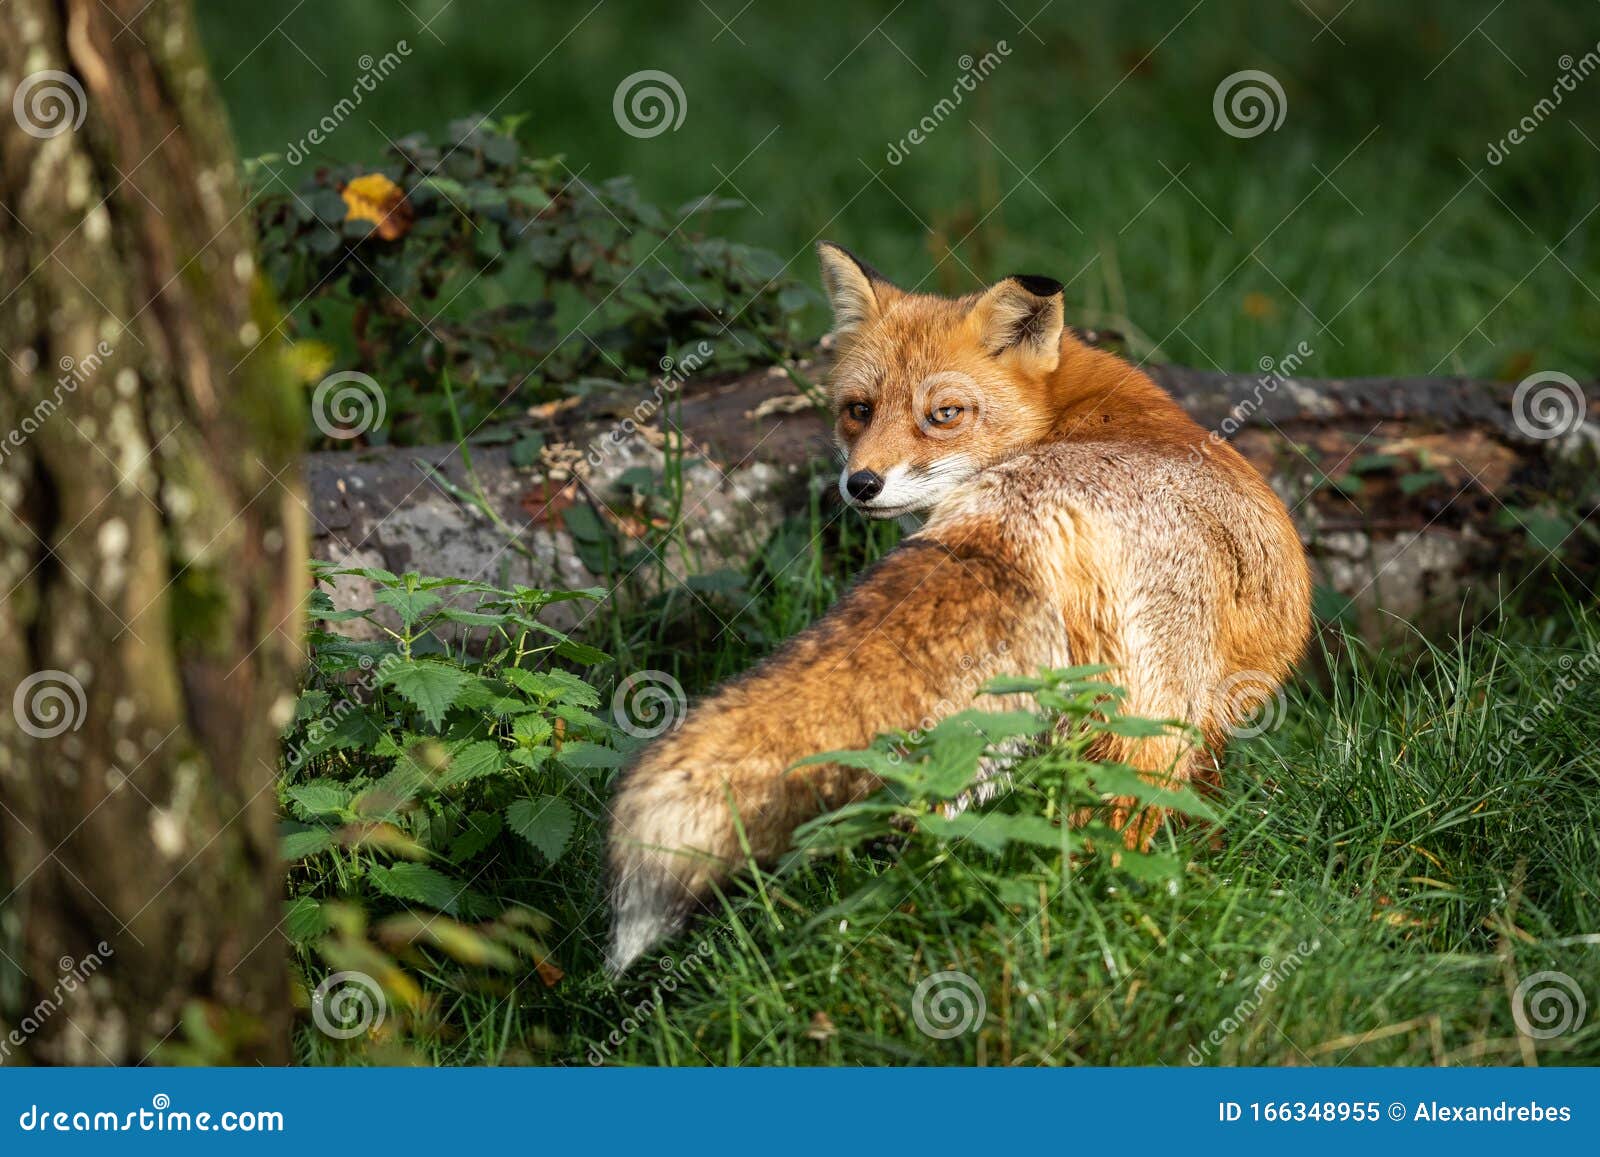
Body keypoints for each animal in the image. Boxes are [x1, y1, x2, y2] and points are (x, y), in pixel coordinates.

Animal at [604, 242, 1311, 975]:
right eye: (859, 409)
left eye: (944, 414)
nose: (861, 484)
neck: (1069, 418)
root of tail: (1031, 503)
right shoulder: (1211, 717)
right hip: (1146, 732)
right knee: (1113, 834)